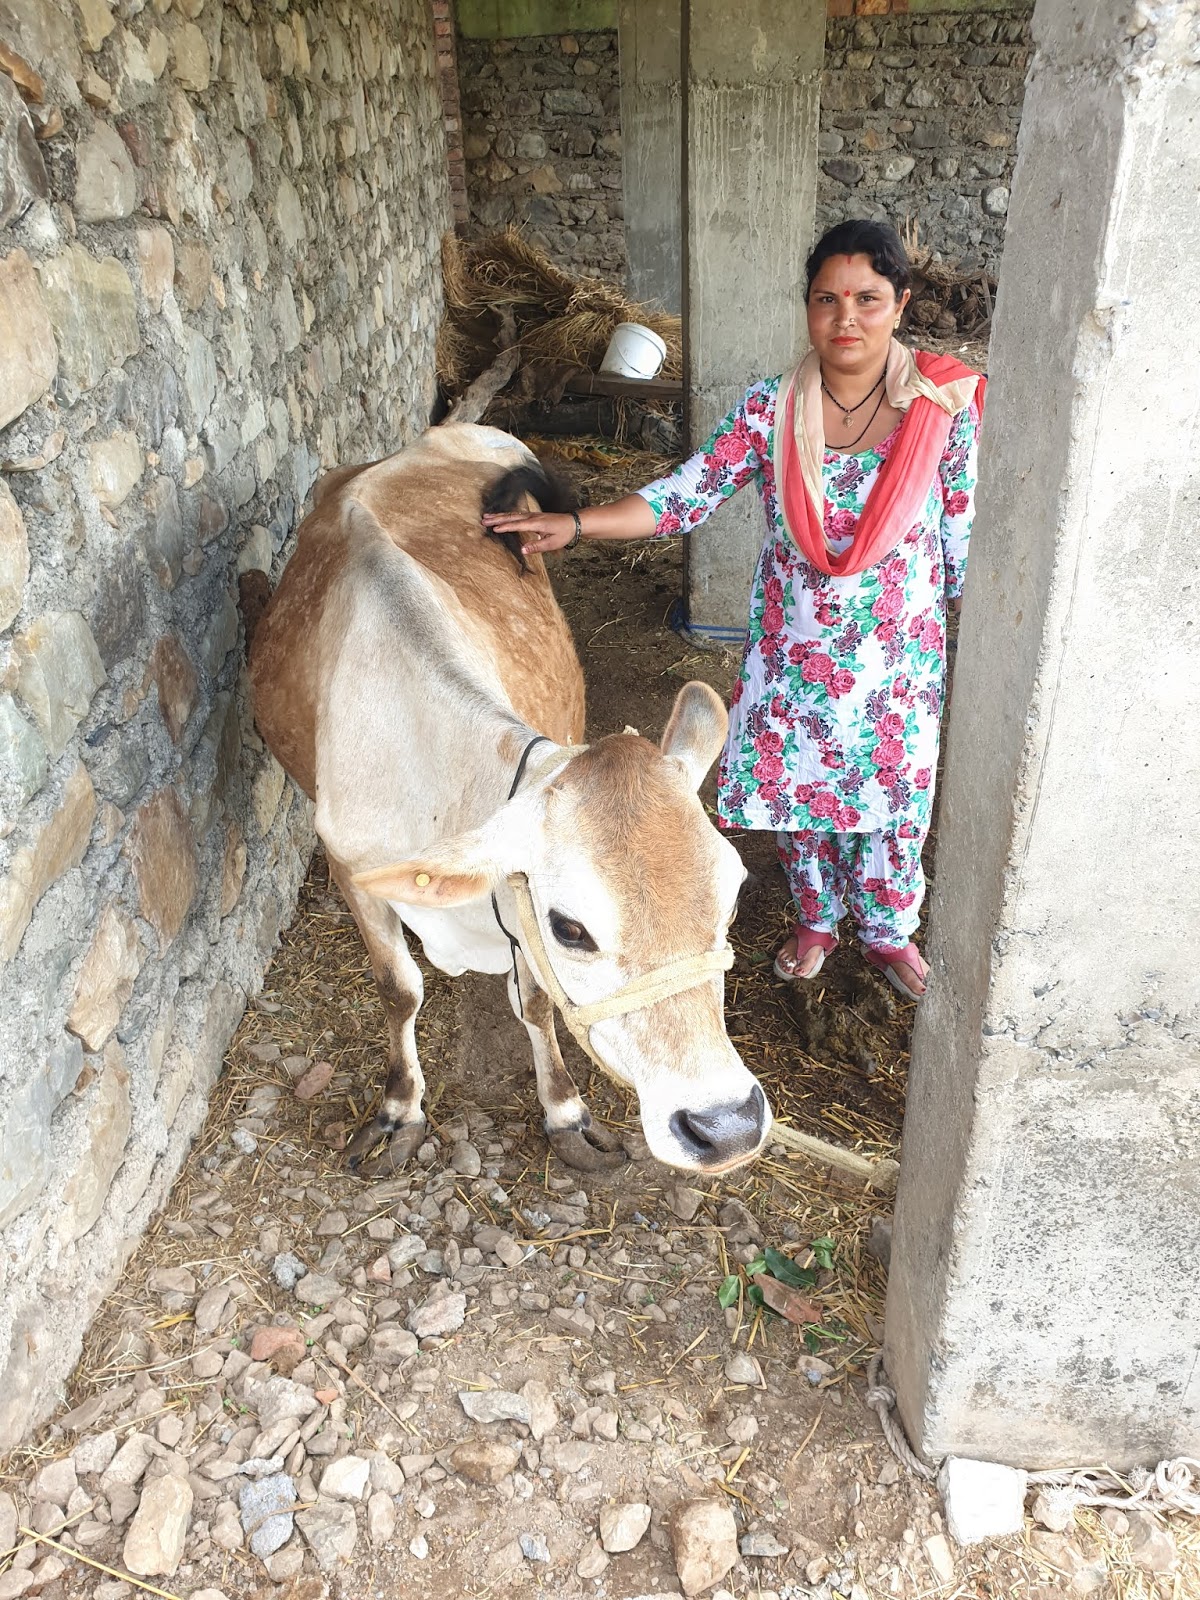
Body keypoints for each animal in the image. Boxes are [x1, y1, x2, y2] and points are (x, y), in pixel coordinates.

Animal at [249, 422, 771, 1176]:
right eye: (570, 929)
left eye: (731, 899)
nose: (725, 1126)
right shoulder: (353, 866)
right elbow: (398, 989)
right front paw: (400, 1108)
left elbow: (535, 1004)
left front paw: (565, 1113)